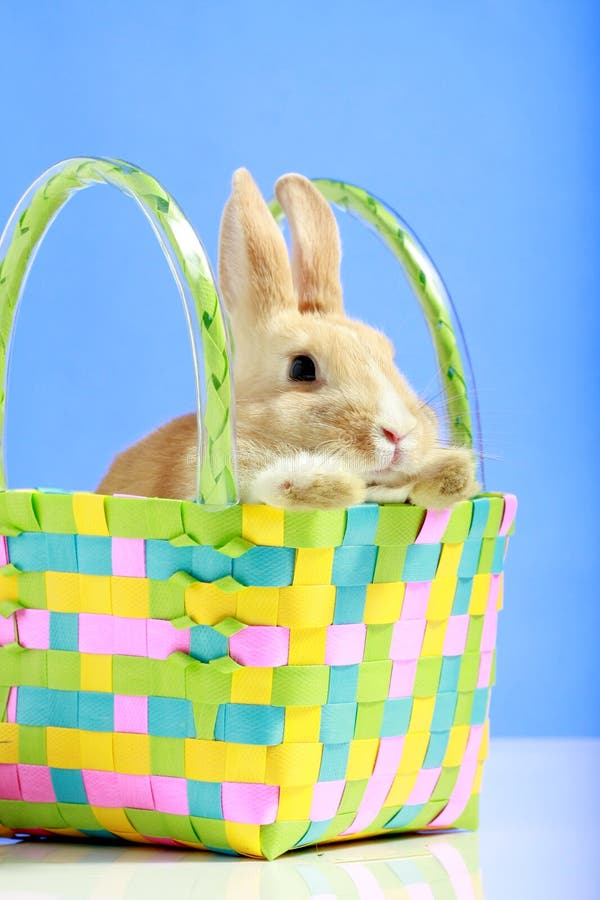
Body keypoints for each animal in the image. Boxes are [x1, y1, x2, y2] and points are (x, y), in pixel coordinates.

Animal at [97, 169, 479, 510]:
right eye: (301, 368)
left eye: (389, 355)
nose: (398, 433)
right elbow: (270, 482)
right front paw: (331, 487)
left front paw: (452, 475)